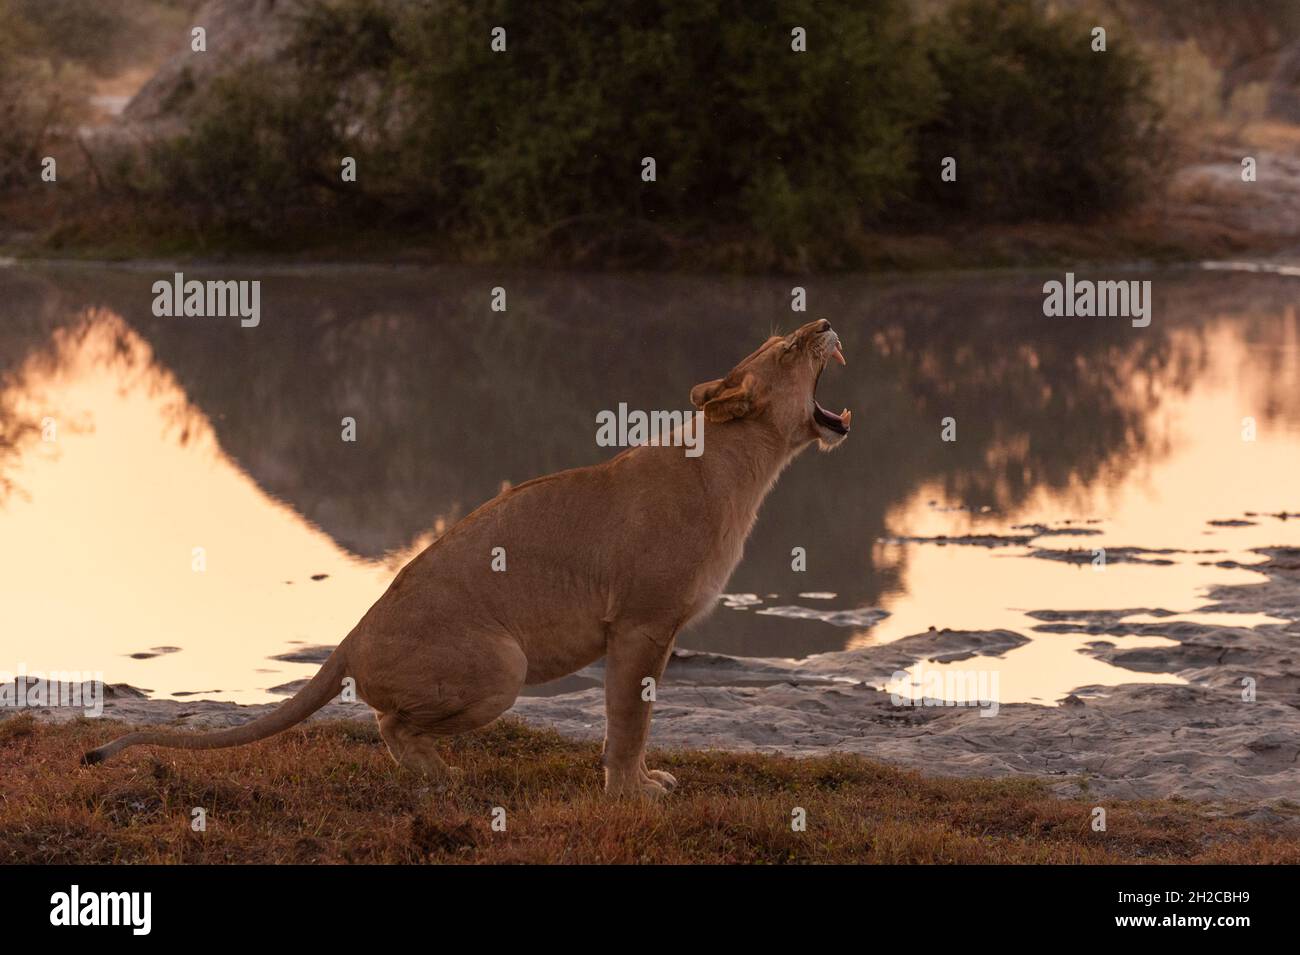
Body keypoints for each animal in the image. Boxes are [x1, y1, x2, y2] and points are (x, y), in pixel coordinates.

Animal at [84, 319, 851, 798]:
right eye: (788, 350)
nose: (821, 322)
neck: (742, 464)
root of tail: (353, 634)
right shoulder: (642, 623)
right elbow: (628, 721)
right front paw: (631, 792)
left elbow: (630, 720)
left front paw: (635, 784)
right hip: (502, 666)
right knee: (390, 722)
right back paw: (440, 779)